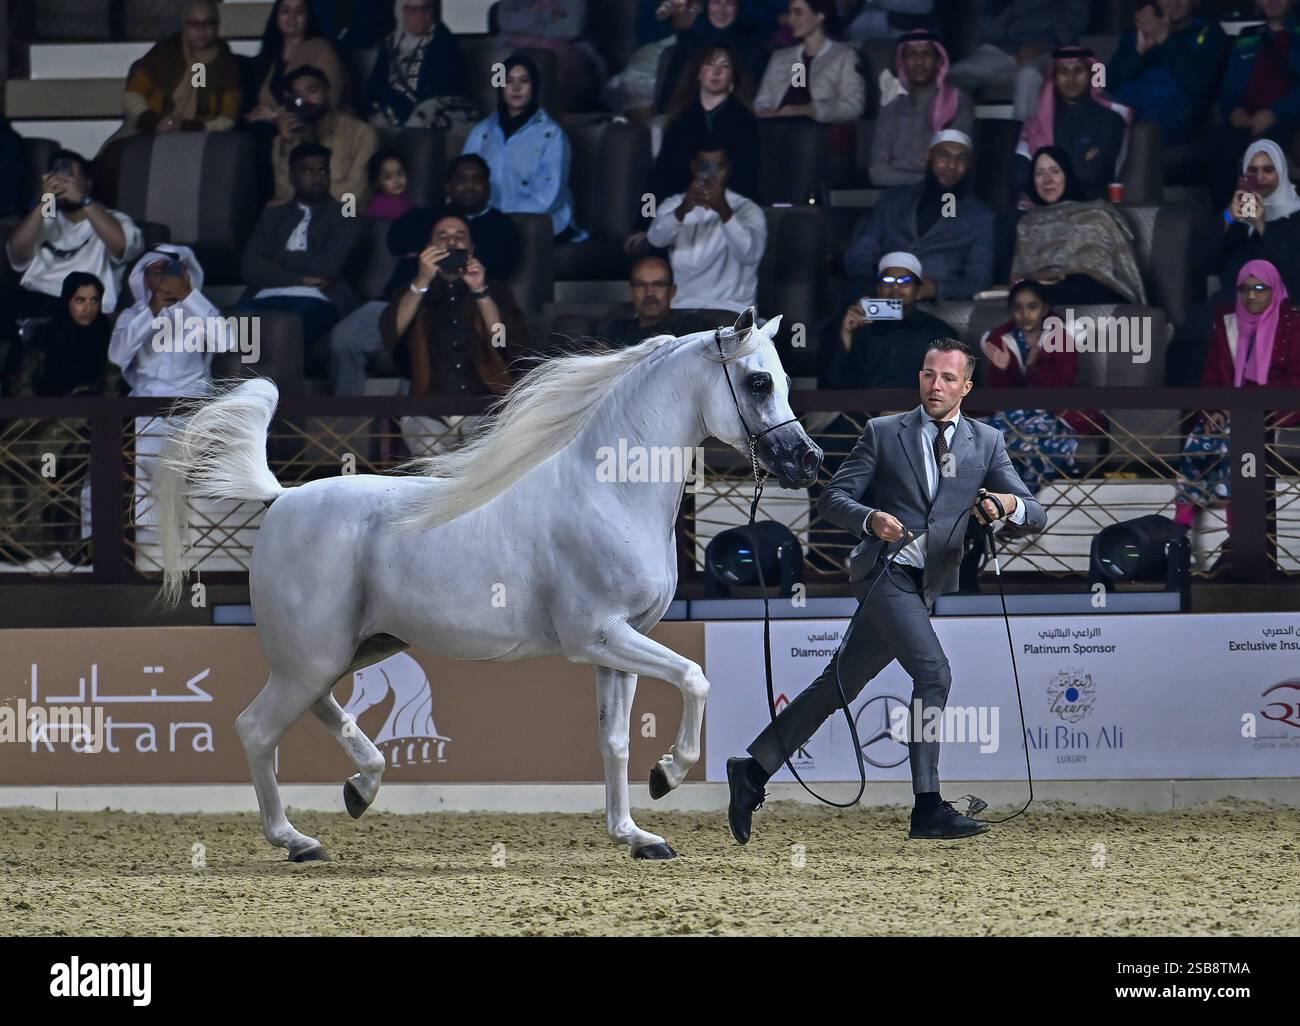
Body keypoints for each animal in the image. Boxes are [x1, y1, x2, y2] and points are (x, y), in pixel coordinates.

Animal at [153, 309, 822, 861]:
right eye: (758, 382)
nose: (808, 460)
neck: (608, 491)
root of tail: (282, 498)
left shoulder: (618, 647)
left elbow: (614, 741)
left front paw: (636, 836)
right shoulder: (599, 636)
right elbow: (694, 677)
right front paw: (670, 775)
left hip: (348, 651)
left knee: (319, 709)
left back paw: (361, 787)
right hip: (312, 656)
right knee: (257, 728)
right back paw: (296, 841)